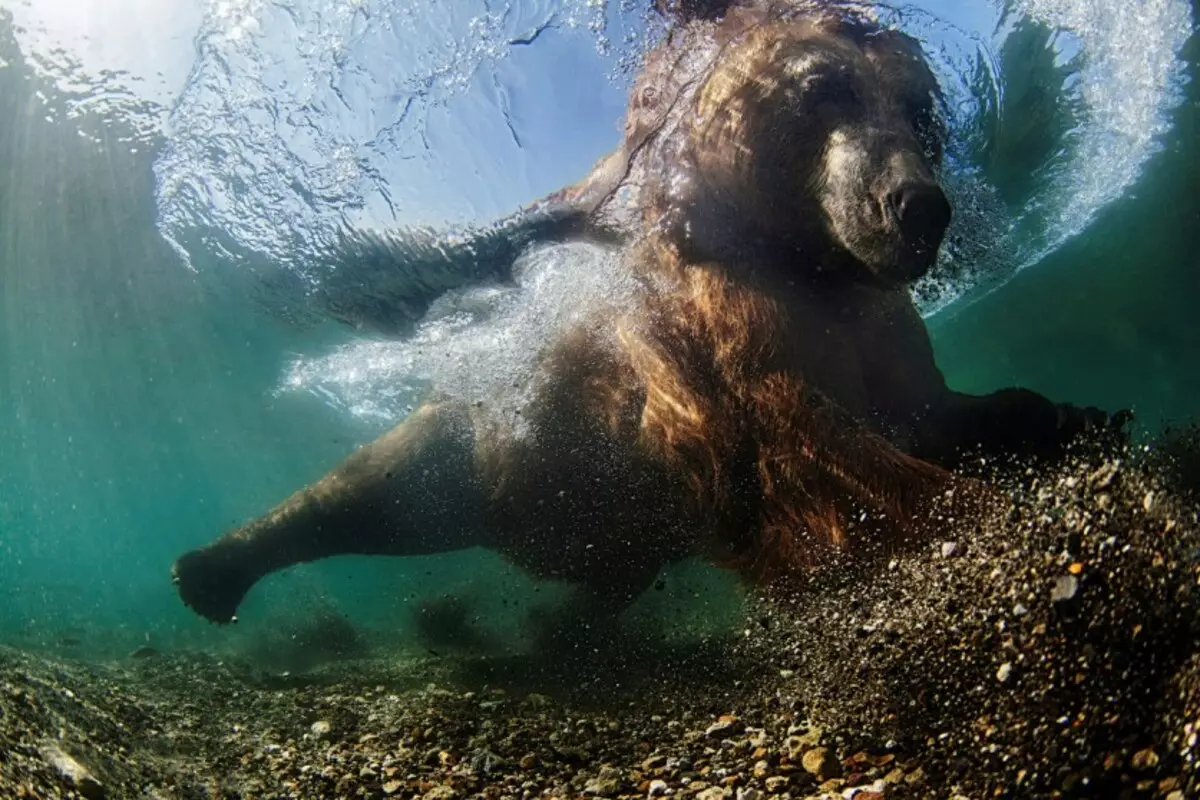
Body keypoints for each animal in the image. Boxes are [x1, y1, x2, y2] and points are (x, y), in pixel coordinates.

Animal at [171, 0, 1123, 623]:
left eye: (921, 109)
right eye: (824, 91)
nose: (916, 205)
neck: (807, 265)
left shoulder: (876, 324)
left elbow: (925, 403)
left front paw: (1067, 414)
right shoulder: (723, 334)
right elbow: (801, 446)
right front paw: (971, 528)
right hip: (491, 438)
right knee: (378, 487)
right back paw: (211, 568)